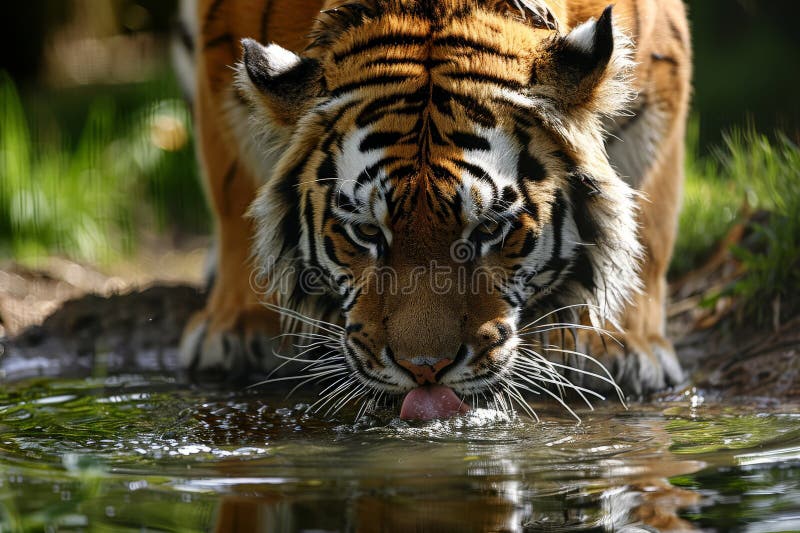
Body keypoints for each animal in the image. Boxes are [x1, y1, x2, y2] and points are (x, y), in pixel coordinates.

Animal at [175, 0, 691, 417]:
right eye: (366, 233)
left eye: (488, 230)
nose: (425, 371)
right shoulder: (220, 56)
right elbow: (235, 194)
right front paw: (242, 329)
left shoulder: (660, 73)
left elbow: (649, 227)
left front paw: (623, 347)